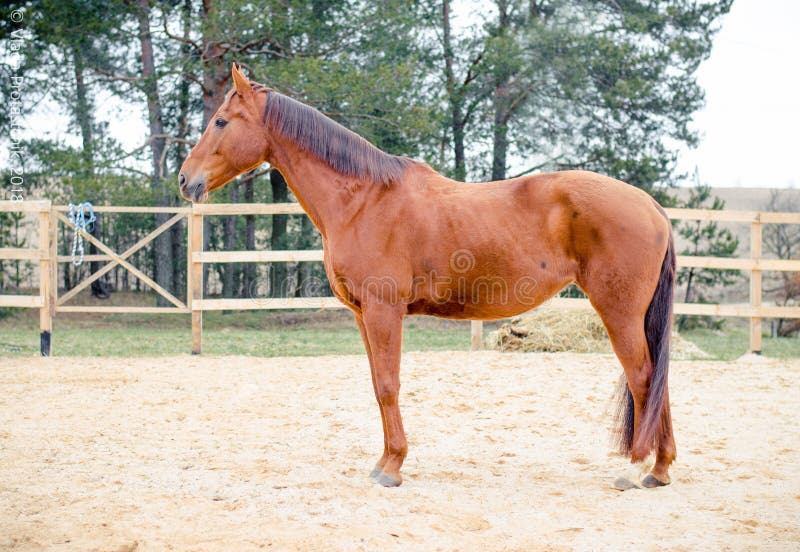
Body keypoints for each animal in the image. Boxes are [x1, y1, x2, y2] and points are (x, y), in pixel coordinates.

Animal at [179, 64, 676, 489]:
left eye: (220, 122)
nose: (185, 180)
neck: (362, 199)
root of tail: (650, 205)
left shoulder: (383, 311)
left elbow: (388, 385)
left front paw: (392, 467)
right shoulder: (362, 314)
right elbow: (377, 385)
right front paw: (384, 460)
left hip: (618, 312)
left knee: (642, 377)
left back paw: (634, 469)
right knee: (658, 378)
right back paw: (660, 469)